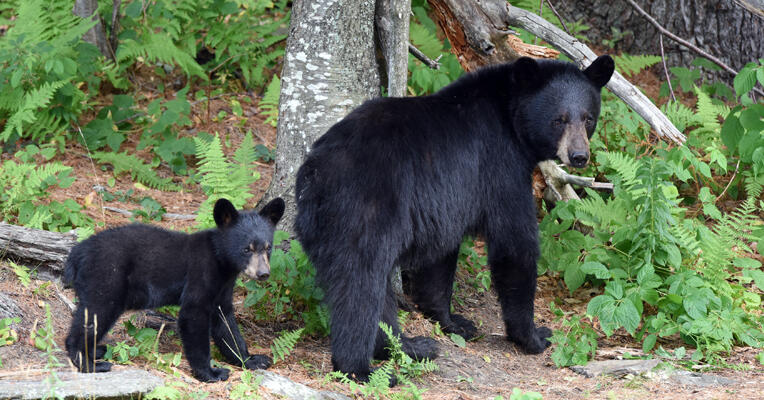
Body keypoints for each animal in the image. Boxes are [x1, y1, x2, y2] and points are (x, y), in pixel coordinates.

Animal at [64, 197, 285, 382]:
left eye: (268, 247)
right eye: (246, 249)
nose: (263, 273)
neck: (222, 262)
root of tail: (77, 252)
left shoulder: (223, 287)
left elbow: (226, 323)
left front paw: (252, 359)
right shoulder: (200, 274)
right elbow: (193, 316)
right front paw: (211, 373)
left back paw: (96, 351)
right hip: (107, 277)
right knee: (95, 313)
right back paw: (89, 363)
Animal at [294, 55, 615, 381]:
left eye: (588, 118)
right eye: (558, 119)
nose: (579, 156)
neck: (509, 117)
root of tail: (315, 173)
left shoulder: (444, 202)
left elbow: (439, 258)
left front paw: (453, 321)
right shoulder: (500, 168)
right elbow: (514, 245)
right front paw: (533, 335)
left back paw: (410, 345)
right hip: (366, 209)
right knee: (360, 284)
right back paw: (359, 369)